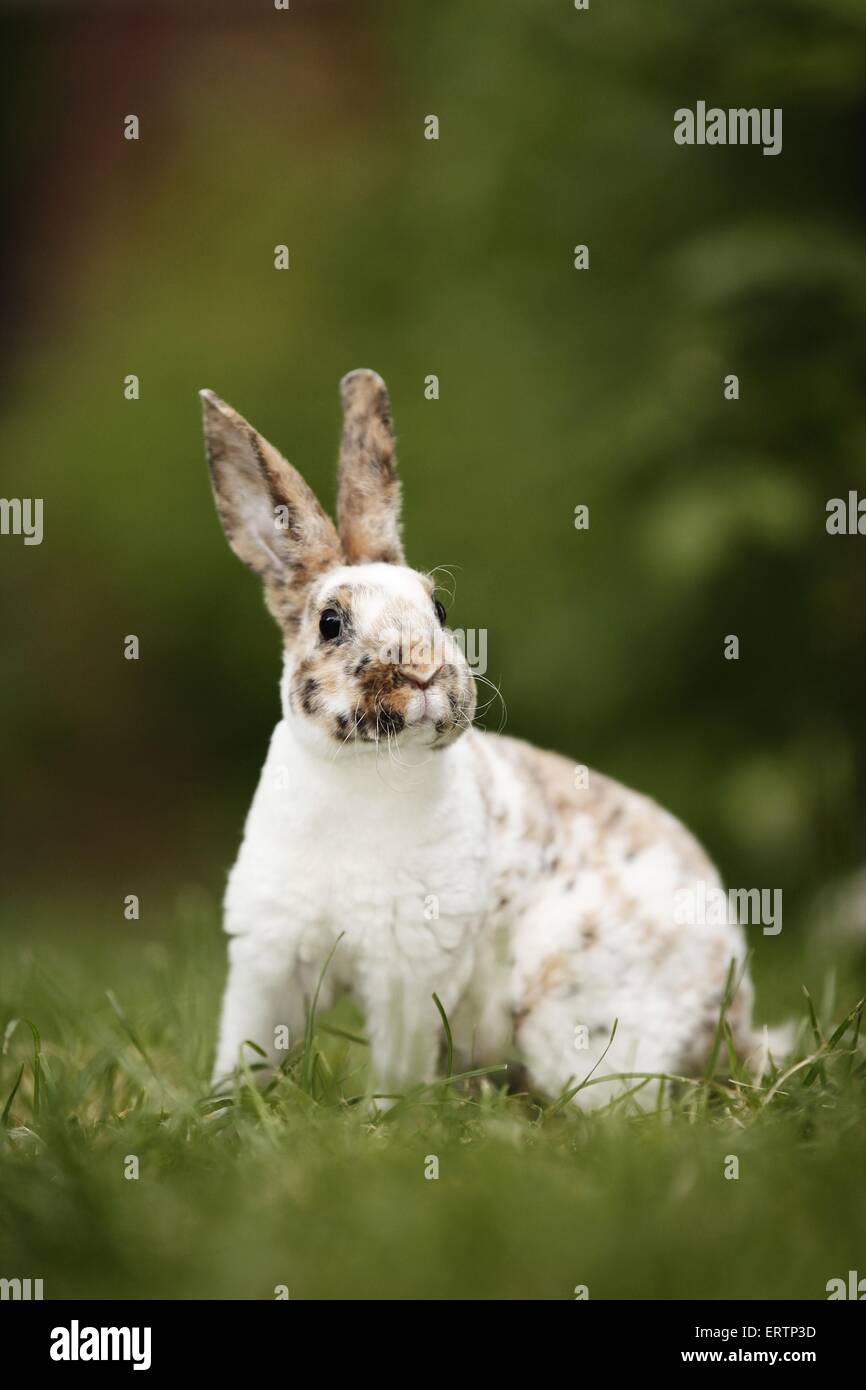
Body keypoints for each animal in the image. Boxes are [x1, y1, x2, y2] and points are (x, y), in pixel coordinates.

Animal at [202, 369, 785, 1106]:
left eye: (439, 607)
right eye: (331, 623)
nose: (422, 670)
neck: (365, 772)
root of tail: (728, 1019)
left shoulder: (407, 974)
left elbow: (397, 1060)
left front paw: (383, 1116)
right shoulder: (269, 959)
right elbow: (247, 1045)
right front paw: (219, 1109)